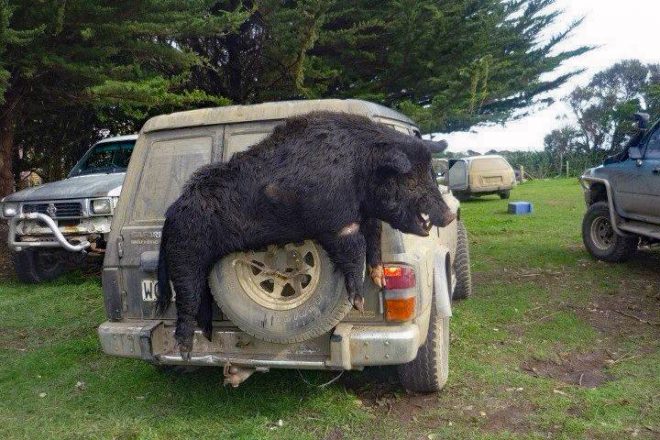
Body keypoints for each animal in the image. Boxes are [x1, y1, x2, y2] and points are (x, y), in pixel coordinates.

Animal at [156, 111, 454, 359]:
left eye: (430, 172)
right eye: (410, 179)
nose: (450, 215)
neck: (359, 171)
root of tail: (171, 213)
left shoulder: (366, 216)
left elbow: (375, 236)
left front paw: (379, 277)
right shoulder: (338, 224)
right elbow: (355, 249)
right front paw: (357, 303)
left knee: (202, 297)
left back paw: (206, 335)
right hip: (184, 254)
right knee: (186, 298)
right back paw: (185, 353)